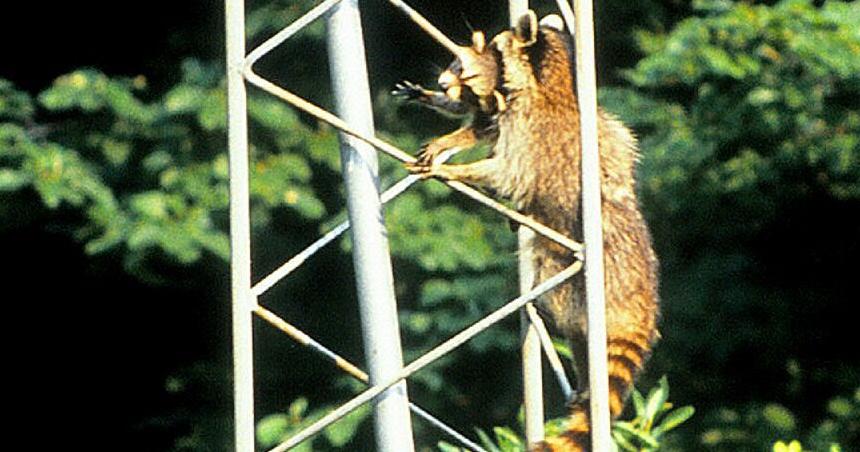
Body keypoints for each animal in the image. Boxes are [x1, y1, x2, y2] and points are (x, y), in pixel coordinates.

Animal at [395, 10, 660, 452]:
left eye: (491, 51)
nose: (446, 83)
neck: (554, 82)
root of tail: (641, 301)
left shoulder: (530, 132)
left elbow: (507, 170)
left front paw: (456, 169)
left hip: (574, 281)